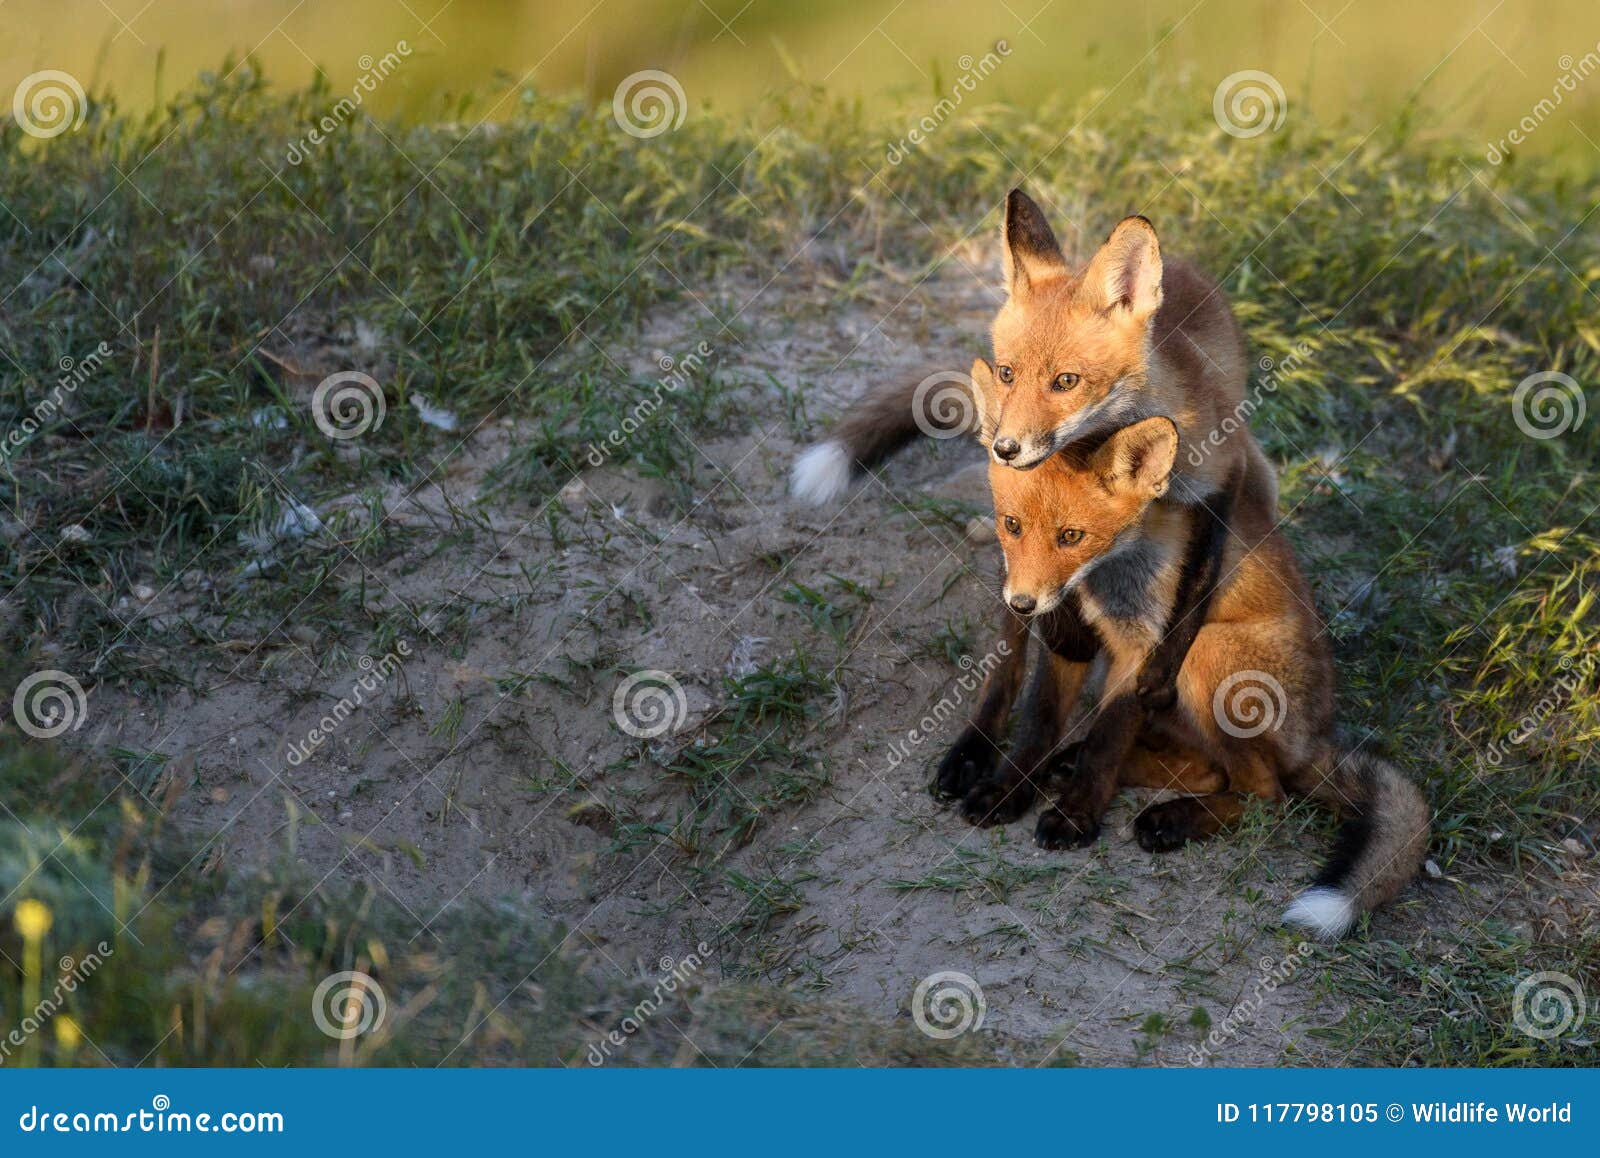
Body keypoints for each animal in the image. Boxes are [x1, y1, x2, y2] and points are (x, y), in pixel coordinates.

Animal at [982, 404, 1430, 938]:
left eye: (1071, 536)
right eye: (1011, 525)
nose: (1021, 603)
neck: (1106, 575)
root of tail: (1317, 736)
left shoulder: (1143, 649)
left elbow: (1105, 743)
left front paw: (1075, 815)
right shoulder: (1069, 636)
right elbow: (1040, 722)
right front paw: (1007, 789)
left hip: (1204, 656)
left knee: (1269, 795)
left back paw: (1172, 821)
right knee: (1211, 771)